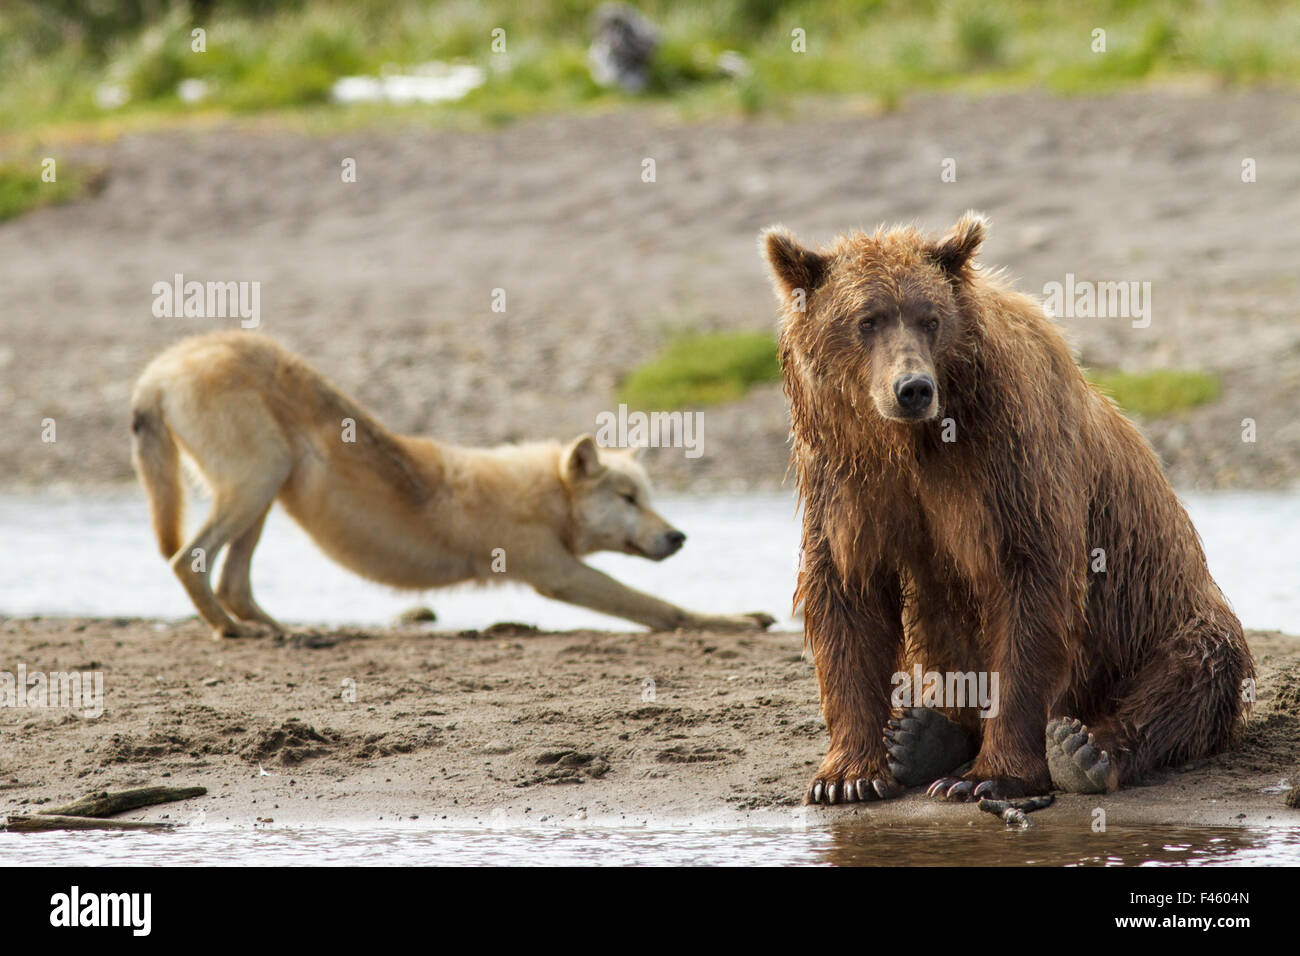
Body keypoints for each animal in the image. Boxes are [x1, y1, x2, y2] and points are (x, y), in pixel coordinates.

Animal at [760, 212, 1254, 805]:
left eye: (930, 318)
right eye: (867, 319)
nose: (913, 388)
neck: (911, 443)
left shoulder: (1009, 455)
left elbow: (1030, 587)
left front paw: (989, 775)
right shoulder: (847, 480)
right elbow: (846, 592)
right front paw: (847, 776)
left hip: (1165, 615)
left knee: (1191, 670)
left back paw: (1082, 750)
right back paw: (921, 735)